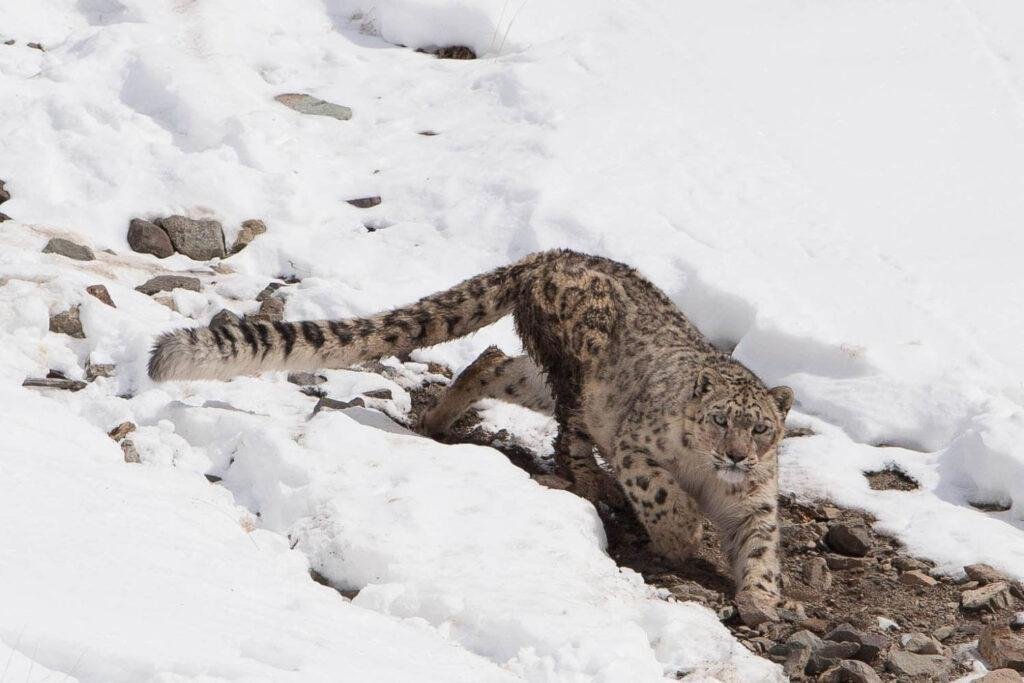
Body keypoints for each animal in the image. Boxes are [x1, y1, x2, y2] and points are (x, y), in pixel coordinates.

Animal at [148, 249, 794, 625]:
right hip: (579, 371)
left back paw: (440, 418)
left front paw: (761, 599)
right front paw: (682, 535)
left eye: (761, 428)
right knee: (570, 432)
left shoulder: (755, 500)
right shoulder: (640, 449)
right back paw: (588, 482)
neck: (708, 476)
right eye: (719, 419)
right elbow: (662, 494)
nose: (736, 456)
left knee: (494, 362)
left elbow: (761, 544)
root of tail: (551, 253)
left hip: (541, 372)